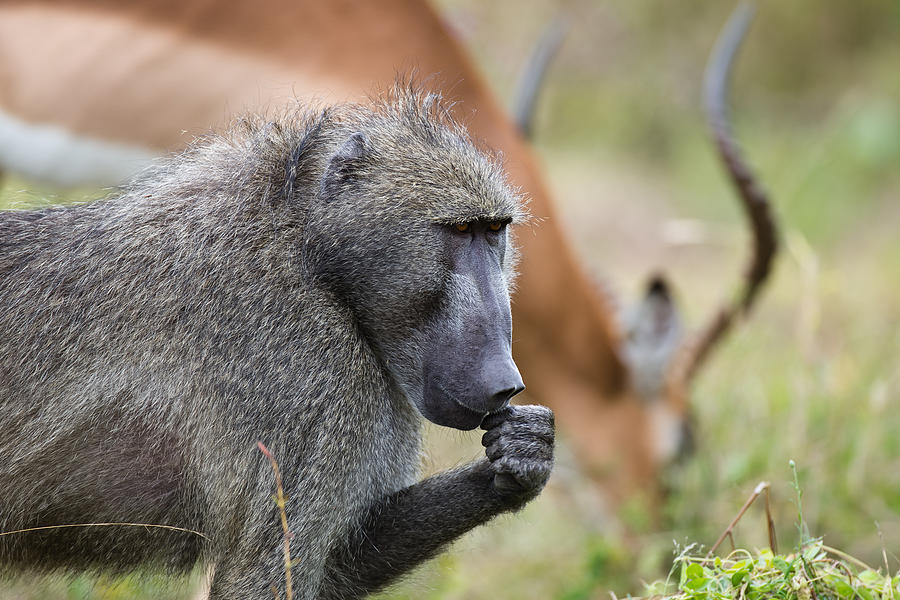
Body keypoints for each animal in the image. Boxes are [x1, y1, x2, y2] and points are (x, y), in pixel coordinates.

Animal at [0, 85, 555, 599]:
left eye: (494, 230)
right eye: (460, 230)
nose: (506, 383)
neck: (310, 250)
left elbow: (340, 563)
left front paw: (524, 451)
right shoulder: (313, 374)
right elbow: (261, 578)